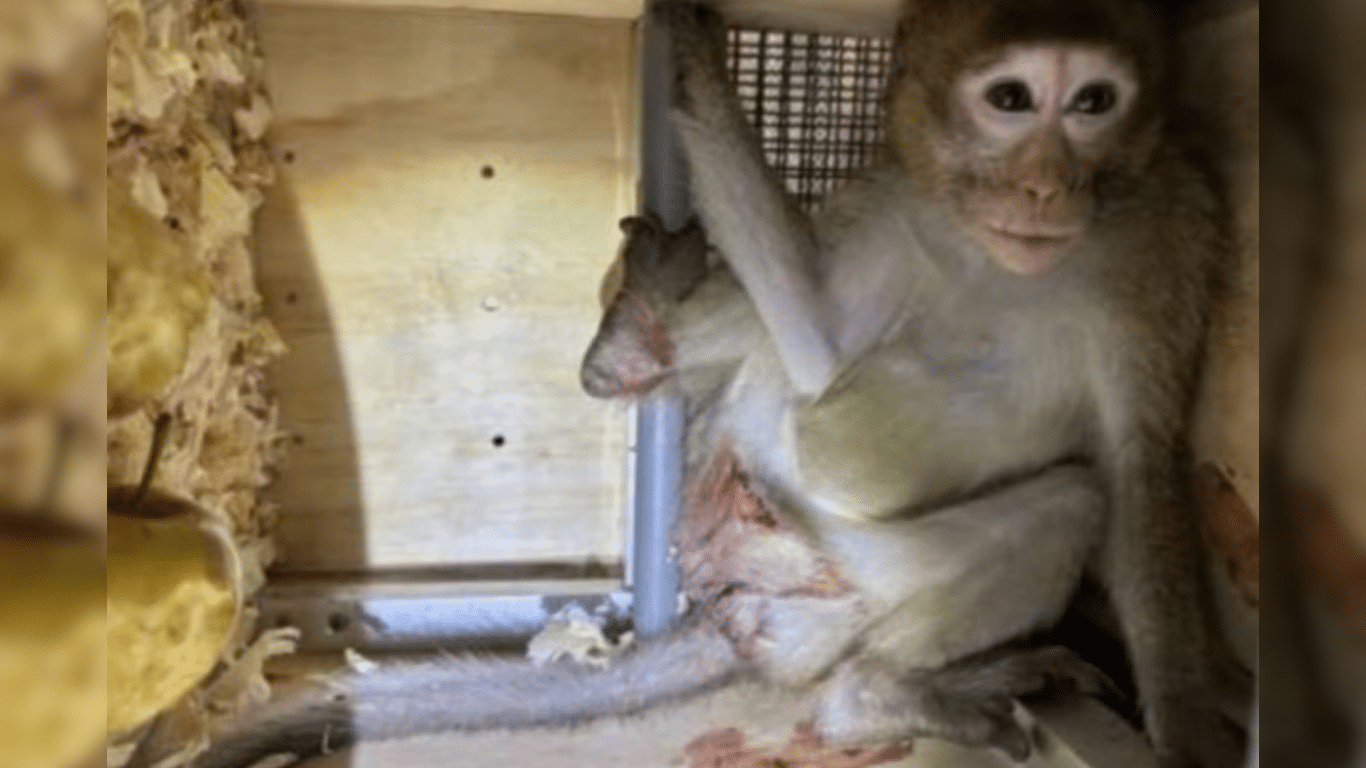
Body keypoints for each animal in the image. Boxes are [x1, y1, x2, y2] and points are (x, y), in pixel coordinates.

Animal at [163, 1, 1249, 766]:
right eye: (1013, 98)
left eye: (1093, 102)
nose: (1043, 187)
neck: (995, 253)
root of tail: (726, 596)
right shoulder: (899, 205)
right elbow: (819, 346)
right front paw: (689, 45)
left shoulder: (1167, 237)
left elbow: (1138, 465)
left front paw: (1188, 733)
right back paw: (643, 361)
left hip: (836, 599)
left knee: (1075, 496)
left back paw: (867, 678)